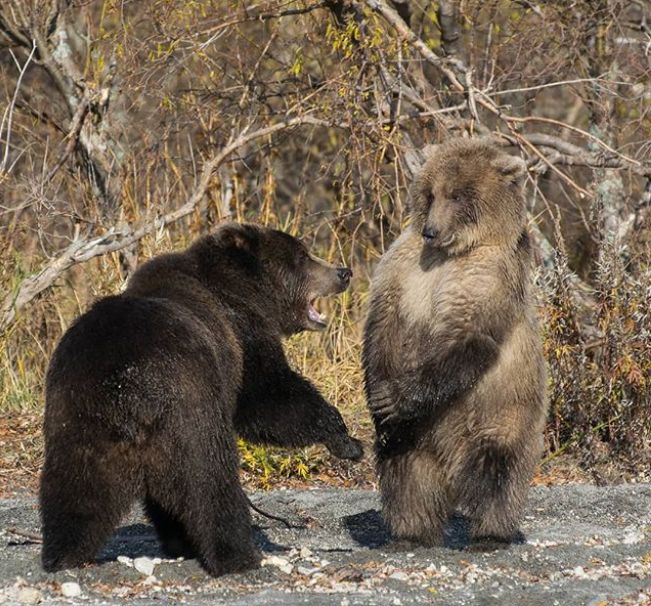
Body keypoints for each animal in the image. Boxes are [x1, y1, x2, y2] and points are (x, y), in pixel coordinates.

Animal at [40, 222, 363, 576]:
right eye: (302, 256)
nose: (343, 272)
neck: (242, 291)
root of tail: (128, 383)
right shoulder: (241, 333)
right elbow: (266, 396)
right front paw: (345, 437)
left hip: (80, 417)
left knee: (75, 488)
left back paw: (65, 552)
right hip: (188, 409)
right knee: (210, 482)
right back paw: (238, 555)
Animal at [362, 137, 548, 548]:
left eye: (458, 195)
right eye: (431, 193)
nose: (431, 230)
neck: (454, 251)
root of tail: (449, 462)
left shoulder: (488, 277)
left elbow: (466, 337)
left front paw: (396, 398)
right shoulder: (402, 267)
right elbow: (382, 326)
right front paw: (379, 398)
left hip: (501, 409)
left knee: (497, 468)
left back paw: (491, 533)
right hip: (419, 435)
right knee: (405, 469)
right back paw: (411, 531)